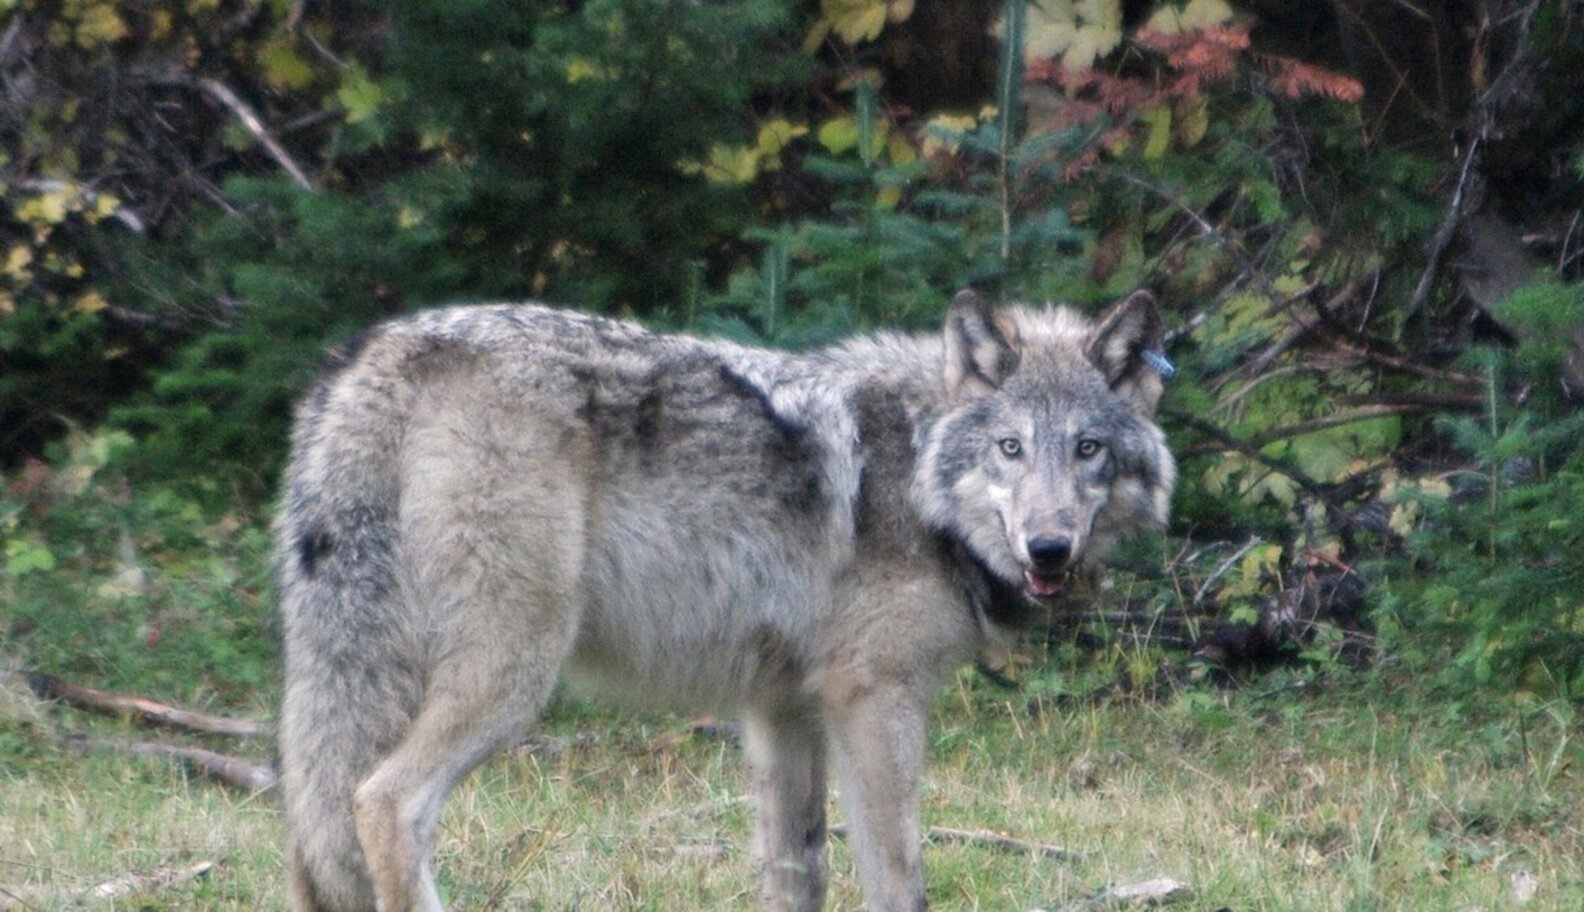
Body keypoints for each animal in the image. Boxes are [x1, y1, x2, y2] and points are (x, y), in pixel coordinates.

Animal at [275, 288, 1175, 912]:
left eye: (1088, 449)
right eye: (1010, 448)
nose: (1049, 548)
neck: (918, 475)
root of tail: (388, 347)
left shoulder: (783, 708)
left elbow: (797, 875)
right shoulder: (872, 699)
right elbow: (898, 881)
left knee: (316, 828)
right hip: (513, 679)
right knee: (382, 803)